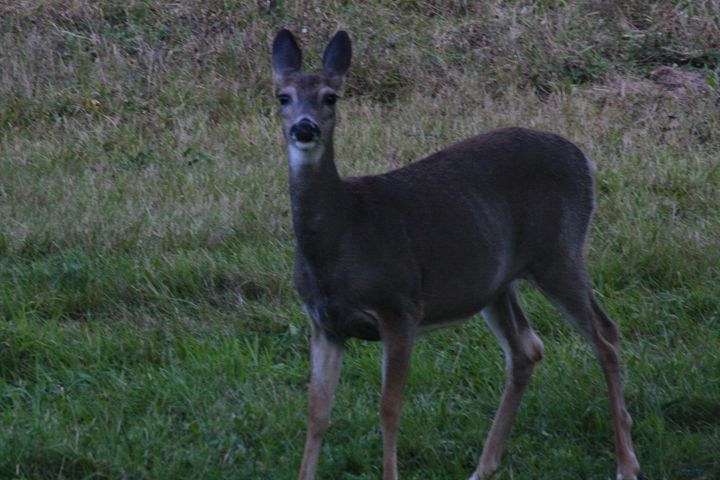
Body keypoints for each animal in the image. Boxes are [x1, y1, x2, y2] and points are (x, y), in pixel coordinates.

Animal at [271, 29, 640, 480]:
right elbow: (316, 413)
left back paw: (626, 464)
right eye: (283, 96)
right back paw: (483, 467)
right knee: (528, 348)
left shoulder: (400, 307)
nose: (304, 128)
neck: (340, 239)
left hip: (559, 252)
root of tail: (586, 161)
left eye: (330, 97)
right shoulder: (324, 323)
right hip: (498, 282)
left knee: (604, 337)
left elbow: (388, 410)